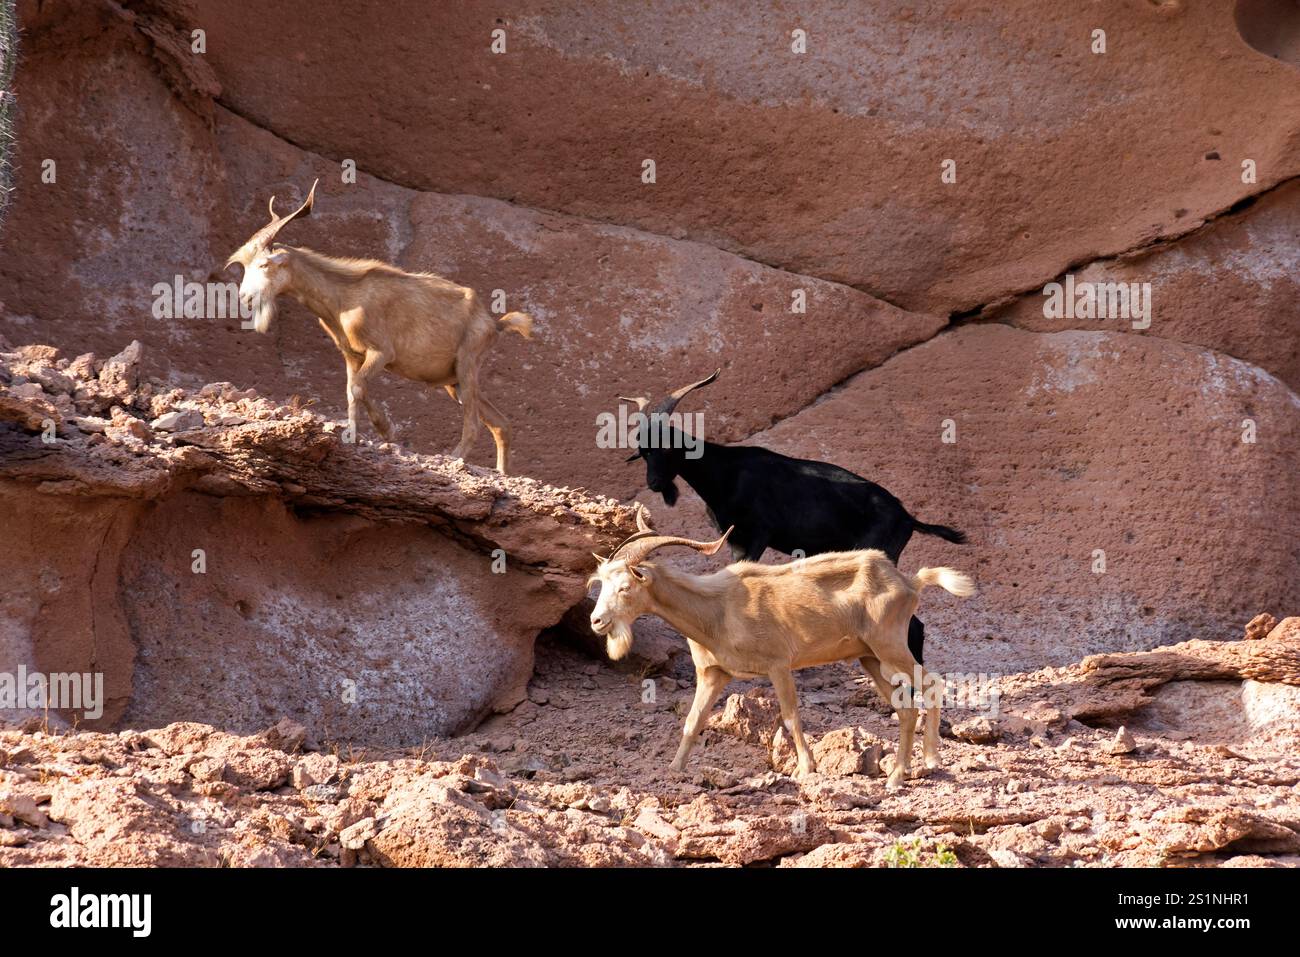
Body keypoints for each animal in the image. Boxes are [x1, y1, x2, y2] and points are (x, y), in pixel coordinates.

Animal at [226, 180, 534, 474]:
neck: (344, 297)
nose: (245, 297)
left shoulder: (381, 352)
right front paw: (351, 436)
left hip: (468, 362)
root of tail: (493, 323)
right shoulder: (351, 355)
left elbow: (359, 388)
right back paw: (502, 473)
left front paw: (387, 430)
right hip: (453, 380)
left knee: (474, 423)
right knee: (501, 423)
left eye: (264, 264)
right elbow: (350, 392)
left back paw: (455, 457)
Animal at [588, 516, 975, 787]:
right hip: (870, 657)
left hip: (889, 645)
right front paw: (673, 769)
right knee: (905, 707)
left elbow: (790, 716)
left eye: (624, 587)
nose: (597, 621)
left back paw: (926, 763)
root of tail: (910, 582)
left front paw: (806, 768)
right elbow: (693, 721)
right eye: (601, 583)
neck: (716, 609)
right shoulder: (713, 674)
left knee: (932, 683)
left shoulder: (778, 665)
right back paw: (899, 773)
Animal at [620, 371, 965, 663]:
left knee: (912, 625)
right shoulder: (735, 540)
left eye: (667, 448)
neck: (725, 473)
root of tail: (908, 517)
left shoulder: (758, 533)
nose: (654, 483)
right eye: (644, 452)